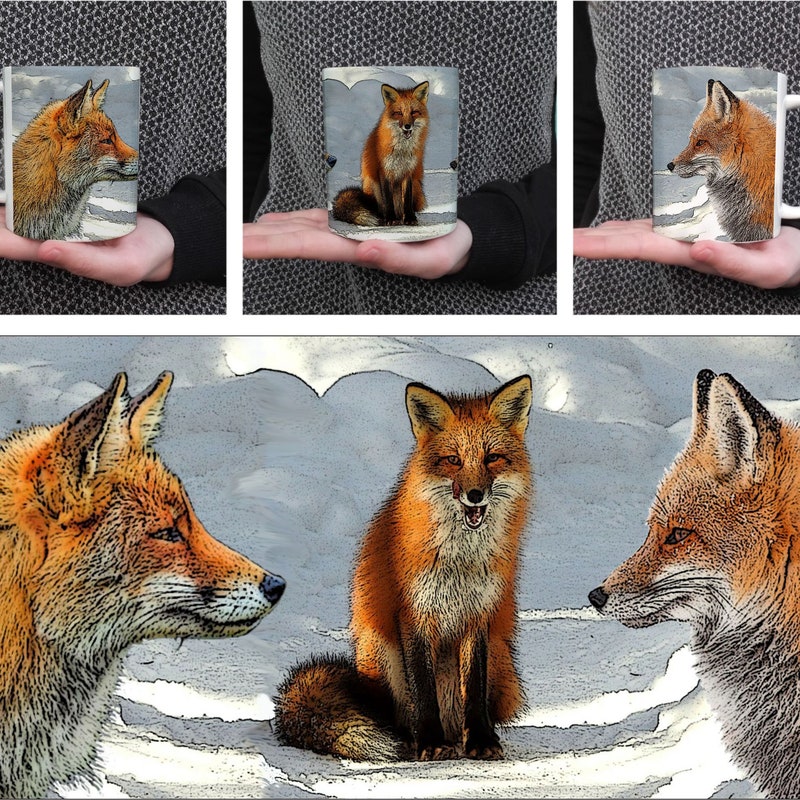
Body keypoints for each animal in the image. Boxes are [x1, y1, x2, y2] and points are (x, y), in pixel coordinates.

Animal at [275, 375, 533, 762]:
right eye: (453, 460)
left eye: (492, 458)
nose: (474, 494)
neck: (460, 561)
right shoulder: (414, 611)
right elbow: (423, 689)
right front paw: (429, 742)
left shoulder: (478, 614)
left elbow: (473, 688)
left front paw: (481, 741)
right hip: (382, 653)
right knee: (396, 716)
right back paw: (413, 740)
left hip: (501, 658)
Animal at [332, 81, 429, 227]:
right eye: (399, 113)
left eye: (414, 112)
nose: (407, 126)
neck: (401, 150)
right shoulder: (384, 170)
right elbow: (387, 199)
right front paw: (390, 218)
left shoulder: (408, 171)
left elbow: (407, 199)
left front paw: (410, 218)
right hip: (373, 184)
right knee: (378, 209)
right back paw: (385, 218)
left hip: (417, 187)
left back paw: (401, 218)